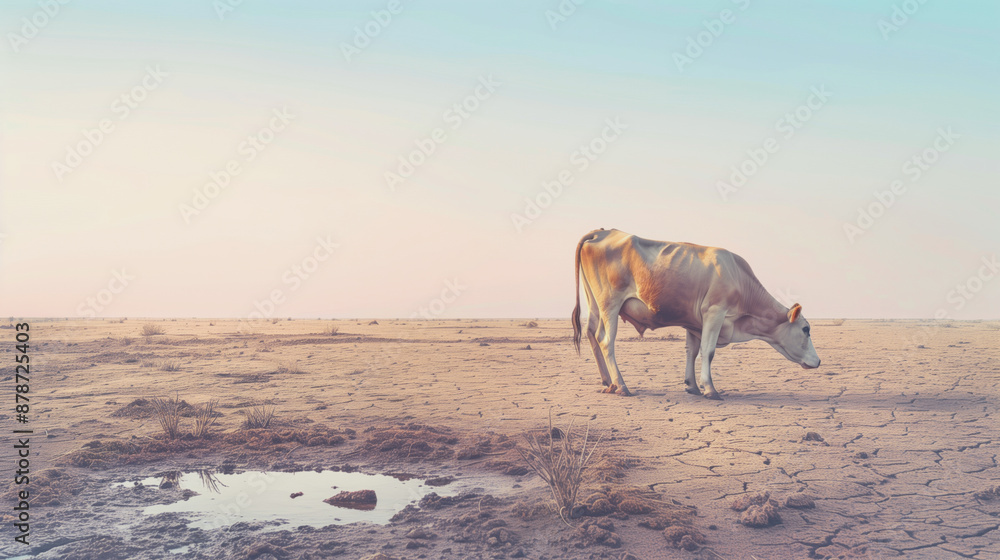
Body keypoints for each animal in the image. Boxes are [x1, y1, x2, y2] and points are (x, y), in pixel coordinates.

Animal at [571, 229, 820, 399]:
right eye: (806, 329)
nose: (818, 361)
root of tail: (604, 231)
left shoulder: (694, 323)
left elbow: (691, 352)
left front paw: (692, 385)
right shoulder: (714, 312)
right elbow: (707, 352)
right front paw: (710, 388)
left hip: (596, 304)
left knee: (592, 334)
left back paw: (607, 382)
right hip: (610, 304)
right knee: (606, 341)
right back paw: (621, 385)